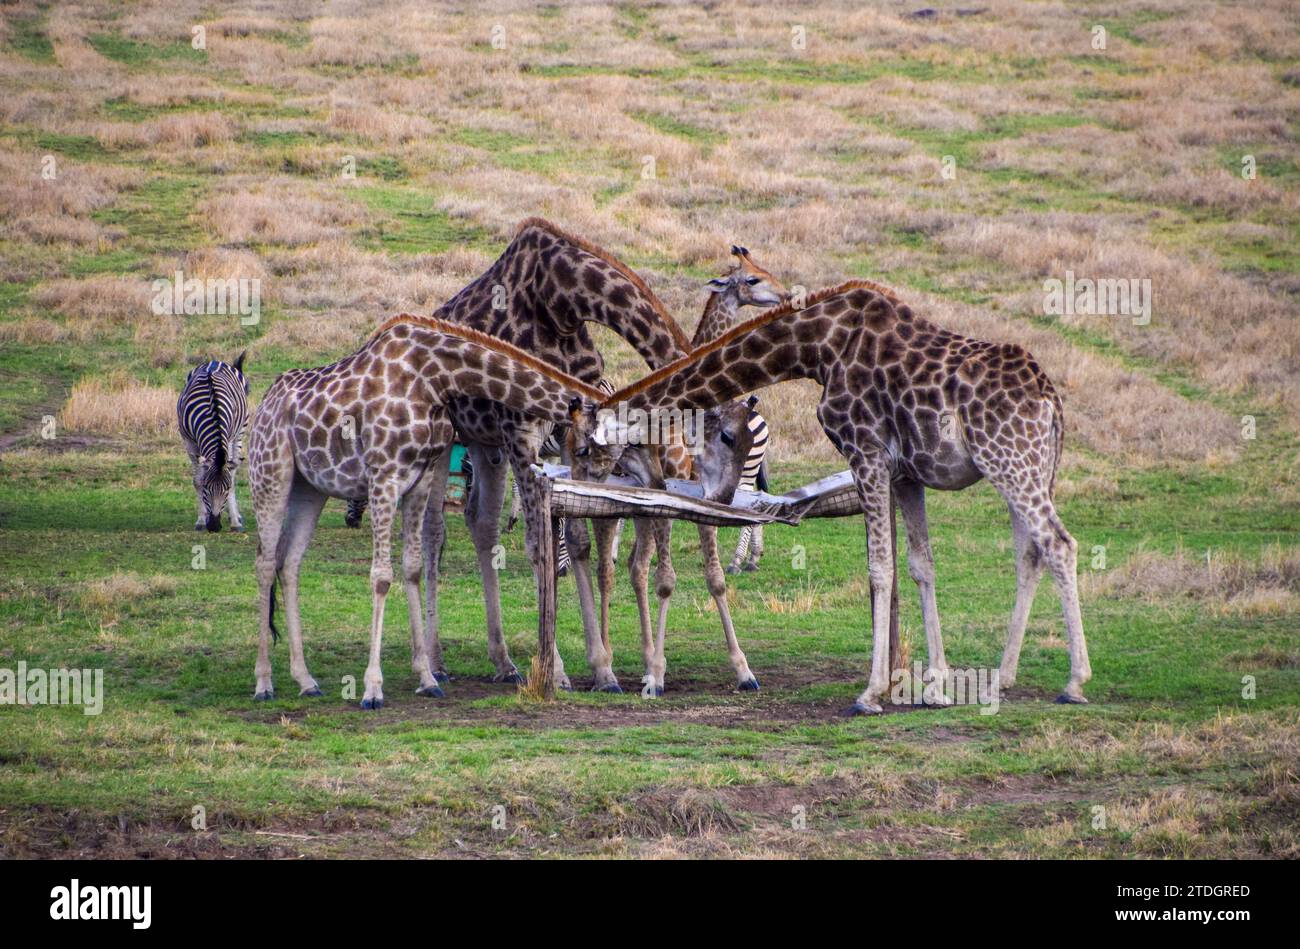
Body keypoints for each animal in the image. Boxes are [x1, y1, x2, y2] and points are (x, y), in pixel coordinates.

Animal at [246, 314, 611, 709]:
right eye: (588, 448)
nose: (598, 490)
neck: (436, 377)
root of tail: (265, 402)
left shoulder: (418, 479)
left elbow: (412, 568)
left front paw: (427, 678)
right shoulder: (384, 476)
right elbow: (381, 576)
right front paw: (373, 689)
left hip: (310, 488)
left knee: (289, 564)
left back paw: (306, 680)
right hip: (270, 474)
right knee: (265, 563)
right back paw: (263, 683)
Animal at [585, 246, 789, 694]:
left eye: (766, 269)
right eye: (751, 279)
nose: (785, 295)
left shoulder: (701, 500)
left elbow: (712, 577)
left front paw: (743, 670)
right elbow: (667, 581)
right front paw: (658, 675)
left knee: (634, 568)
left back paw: (639, 658)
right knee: (605, 569)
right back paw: (605, 666)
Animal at [599, 281, 1091, 713]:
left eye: (730, 436)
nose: (720, 496)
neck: (817, 348)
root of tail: (1050, 400)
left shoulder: (865, 451)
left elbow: (880, 567)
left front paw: (871, 694)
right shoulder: (906, 473)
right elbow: (921, 564)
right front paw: (935, 685)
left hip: (1010, 461)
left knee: (1060, 544)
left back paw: (1074, 682)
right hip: (1027, 468)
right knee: (1030, 553)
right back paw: (1001, 679)